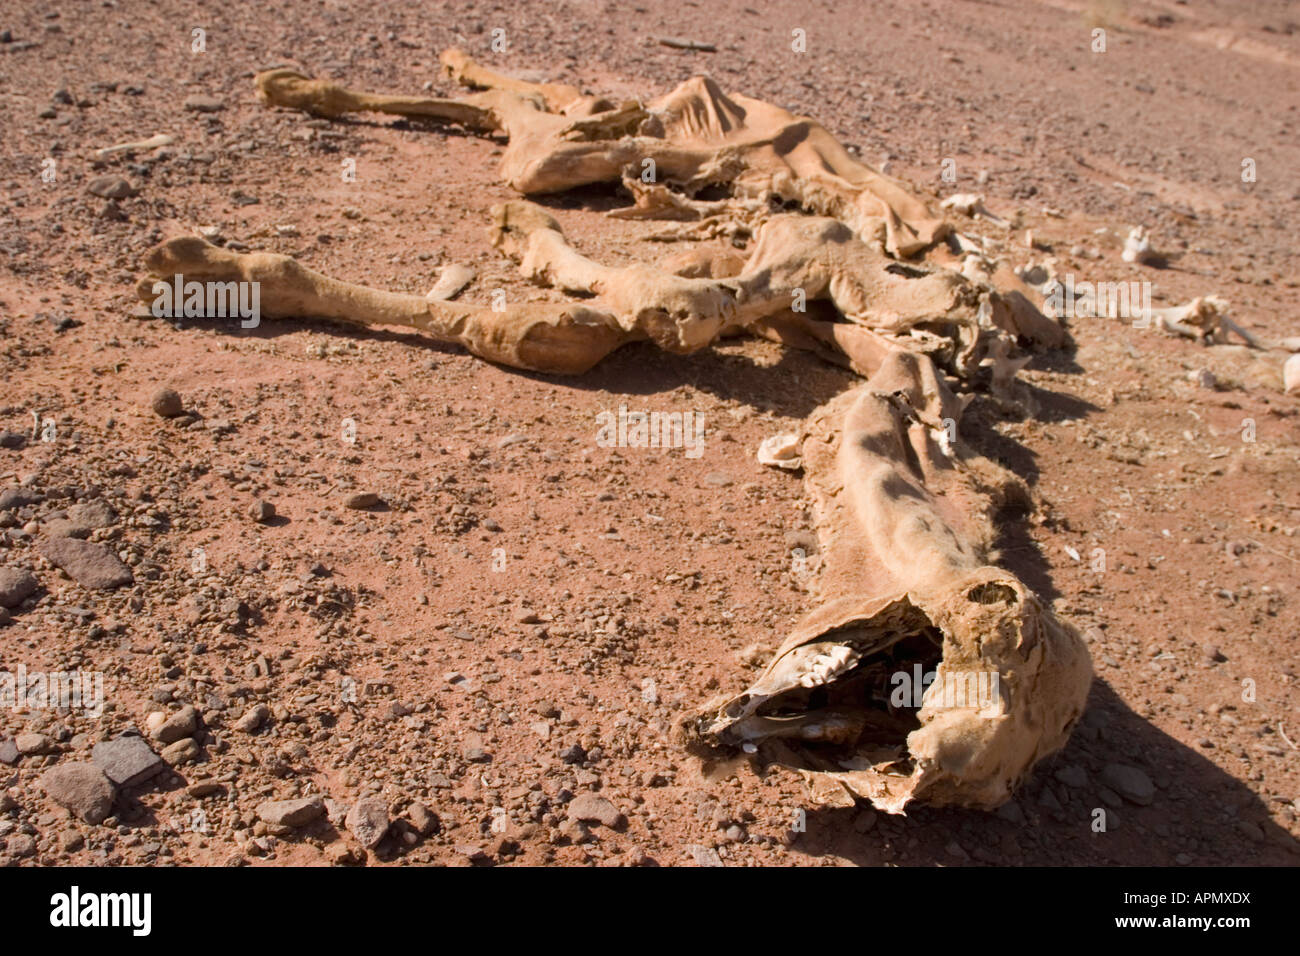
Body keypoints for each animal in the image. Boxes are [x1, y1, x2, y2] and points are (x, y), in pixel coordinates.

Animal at [137, 50, 1092, 813]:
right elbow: (593, 312)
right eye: (988, 616)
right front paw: (212, 268)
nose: (853, 747)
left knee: (537, 133)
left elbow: (577, 319)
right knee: (542, 134)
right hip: (675, 141)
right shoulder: (788, 275)